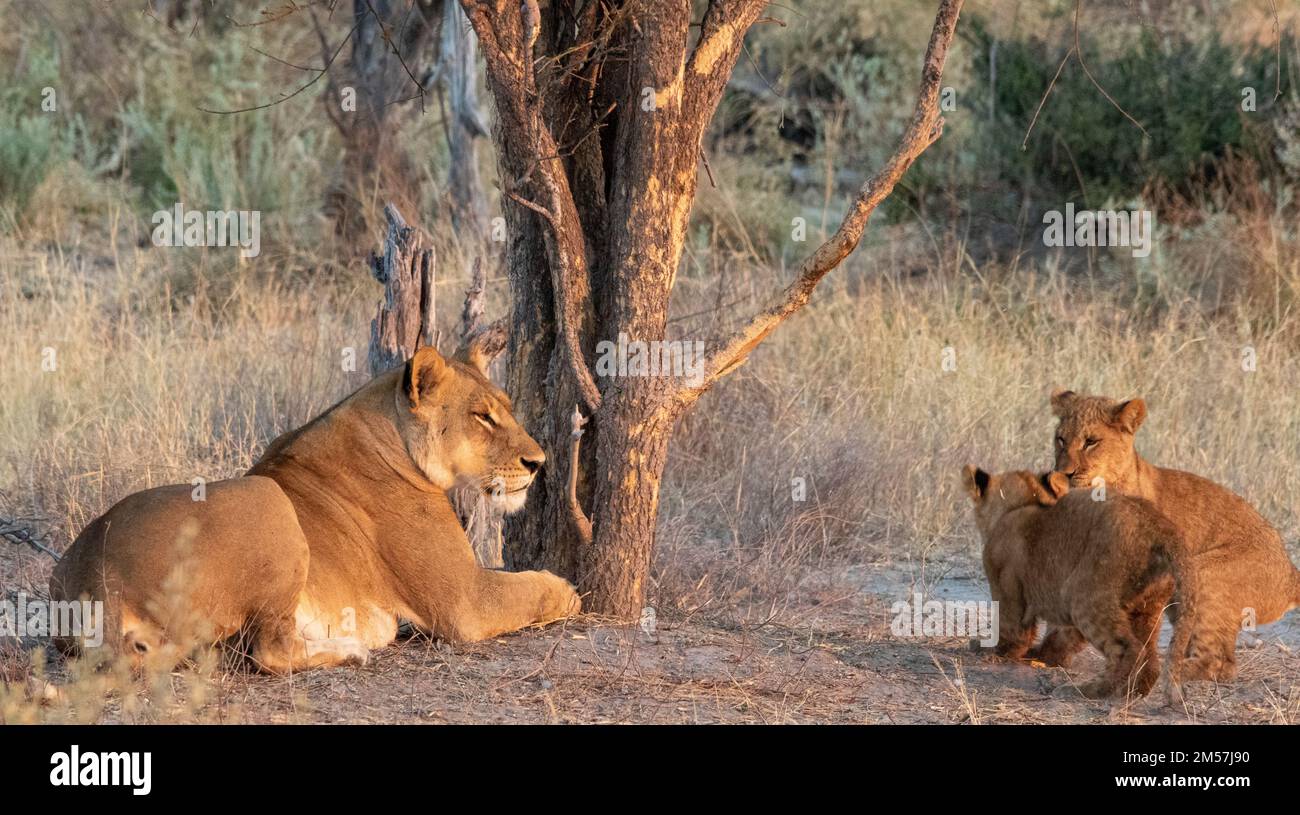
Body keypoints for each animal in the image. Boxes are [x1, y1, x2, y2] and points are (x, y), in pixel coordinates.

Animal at [50, 340, 581, 673]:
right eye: (482, 417)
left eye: (506, 408)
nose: (538, 463)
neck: (388, 426)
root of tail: (97, 573)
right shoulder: (464, 600)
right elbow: (531, 590)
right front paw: (570, 590)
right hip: (268, 499)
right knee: (267, 652)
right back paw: (353, 650)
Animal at [963, 466, 1198, 701]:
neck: (1020, 505)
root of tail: (1161, 527)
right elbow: (1058, 637)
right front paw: (1042, 656)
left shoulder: (1005, 584)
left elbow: (1011, 631)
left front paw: (990, 650)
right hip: (1148, 608)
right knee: (1150, 657)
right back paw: (1132, 692)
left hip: (1084, 594)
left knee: (1128, 649)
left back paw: (1086, 690)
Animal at [1038, 389, 1300, 681]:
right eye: (1061, 439)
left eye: (1091, 442)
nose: (1064, 473)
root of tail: (1291, 573)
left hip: (1202, 574)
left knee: (1219, 664)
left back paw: (1171, 668)